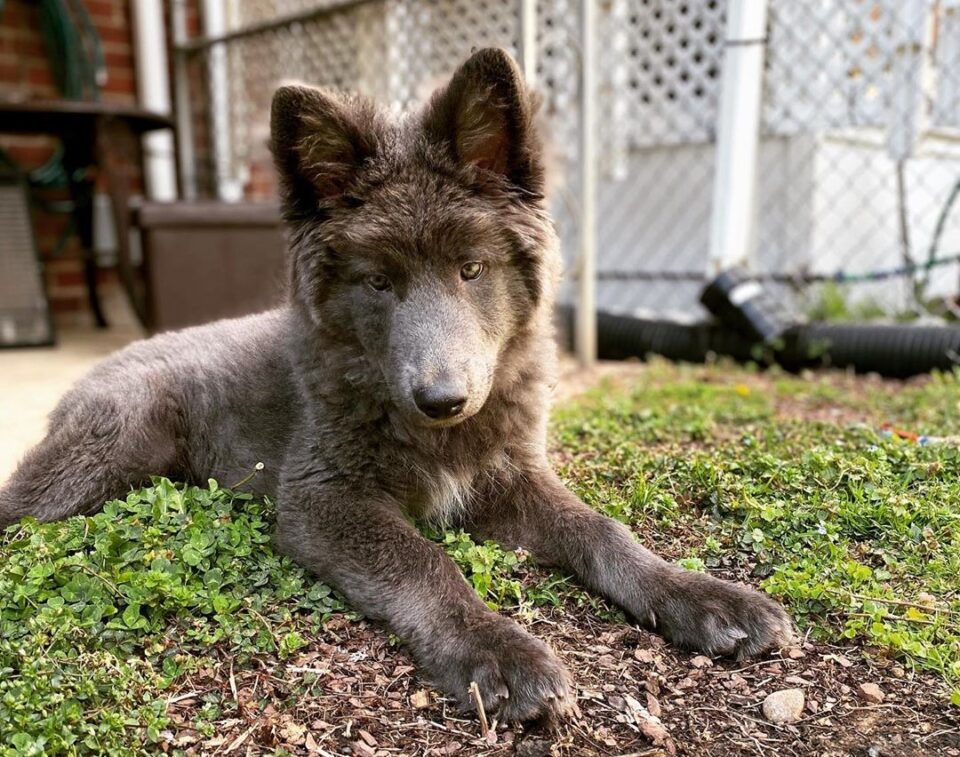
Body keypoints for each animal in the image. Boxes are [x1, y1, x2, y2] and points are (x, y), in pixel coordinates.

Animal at [0, 48, 792, 723]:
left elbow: (602, 529)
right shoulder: (321, 498)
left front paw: (700, 594)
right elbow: (423, 559)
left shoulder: (510, 473)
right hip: (113, 447)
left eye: (472, 269)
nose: (442, 400)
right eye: (378, 282)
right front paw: (495, 650)